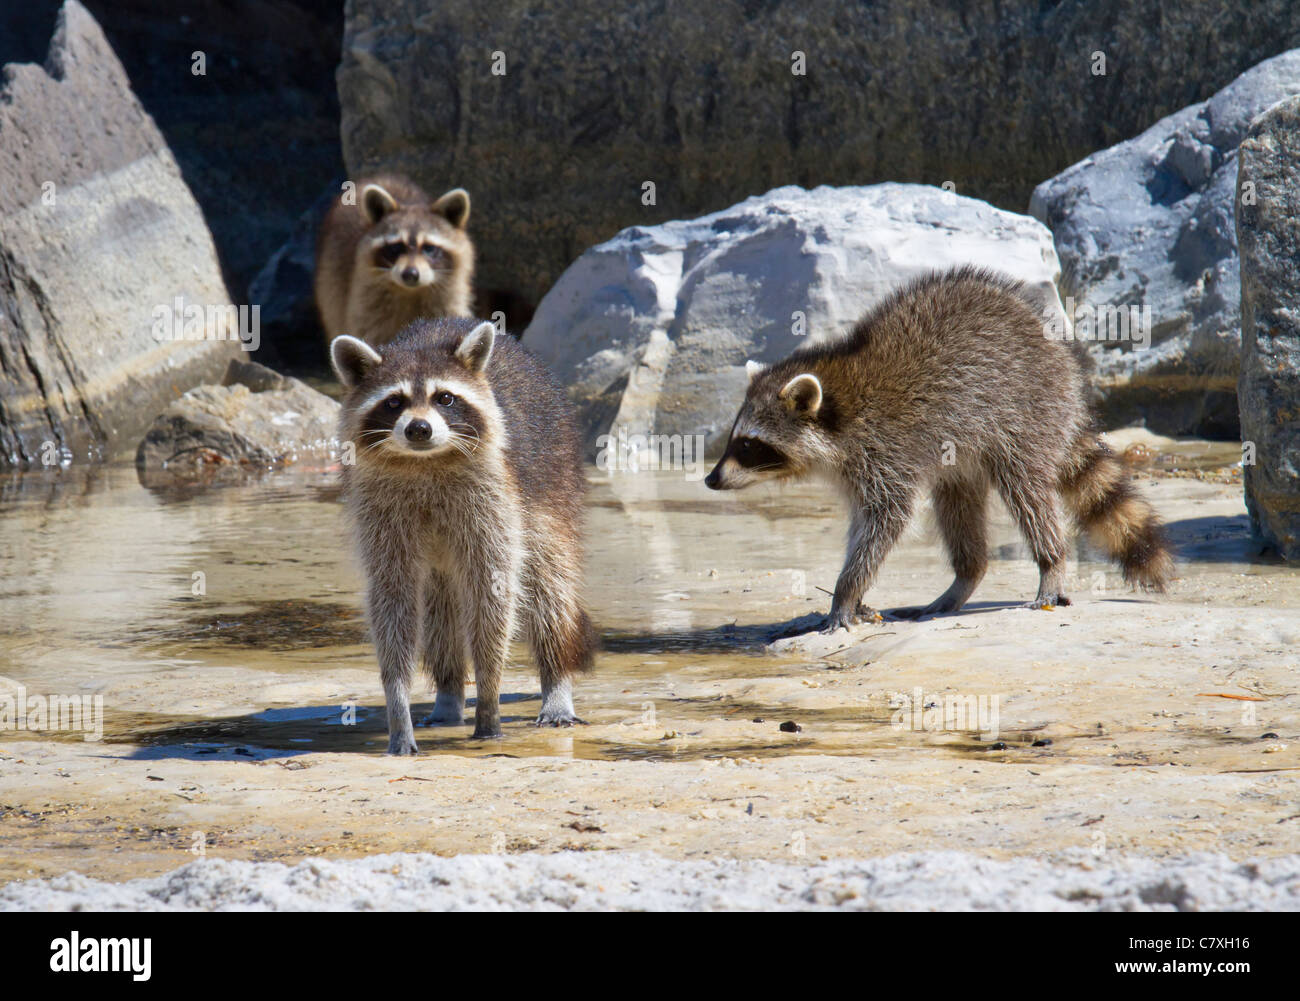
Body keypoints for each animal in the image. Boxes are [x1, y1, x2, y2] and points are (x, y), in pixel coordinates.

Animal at [315, 175, 475, 349]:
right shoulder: (367, 303)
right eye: (396, 247)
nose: (410, 274)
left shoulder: (448, 297)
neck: (411, 292)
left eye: (428, 248)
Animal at [331, 316, 595, 753]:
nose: (419, 429)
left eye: (445, 398)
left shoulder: (493, 495)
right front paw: (398, 705)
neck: (425, 462)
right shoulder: (379, 508)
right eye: (394, 402)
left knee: (549, 585)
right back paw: (450, 691)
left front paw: (489, 691)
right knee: (440, 608)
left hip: (555, 480)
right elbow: (393, 596)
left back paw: (556, 680)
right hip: (439, 560)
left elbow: (493, 587)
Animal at [705, 267, 1173, 632]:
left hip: (1027, 414)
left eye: (749, 445)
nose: (710, 479)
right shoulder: (863, 467)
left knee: (1028, 492)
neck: (841, 405)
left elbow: (886, 522)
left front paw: (846, 591)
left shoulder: (886, 452)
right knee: (957, 505)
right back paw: (966, 576)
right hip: (963, 459)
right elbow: (865, 526)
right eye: (734, 438)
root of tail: (1065, 364)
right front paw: (854, 595)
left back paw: (1051, 563)